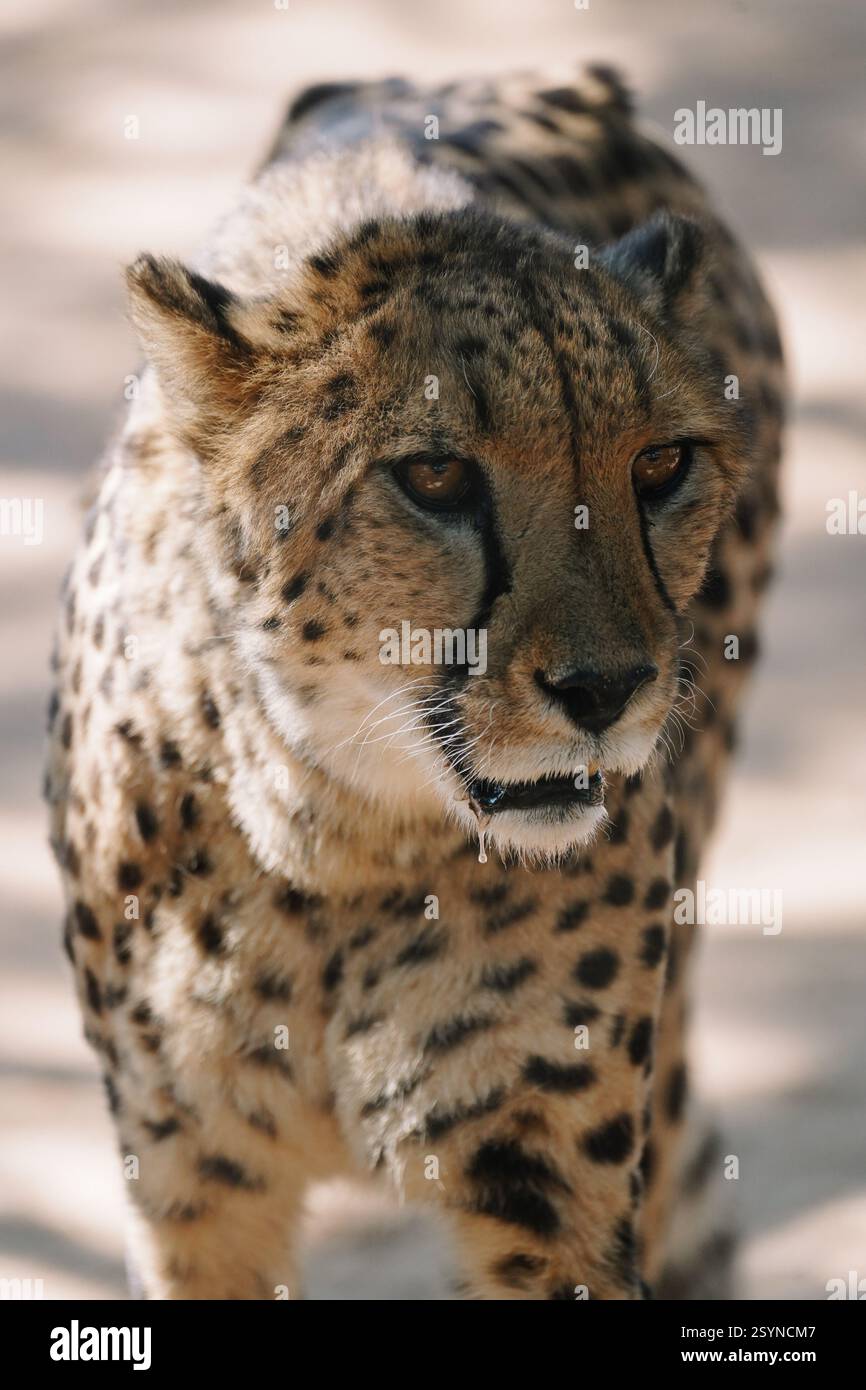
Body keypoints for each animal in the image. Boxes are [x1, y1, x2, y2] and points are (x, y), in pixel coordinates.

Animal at [45, 68, 785, 1300]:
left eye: (659, 465)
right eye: (434, 475)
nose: (608, 688)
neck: (331, 838)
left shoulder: (546, 1186)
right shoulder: (193, 1186)